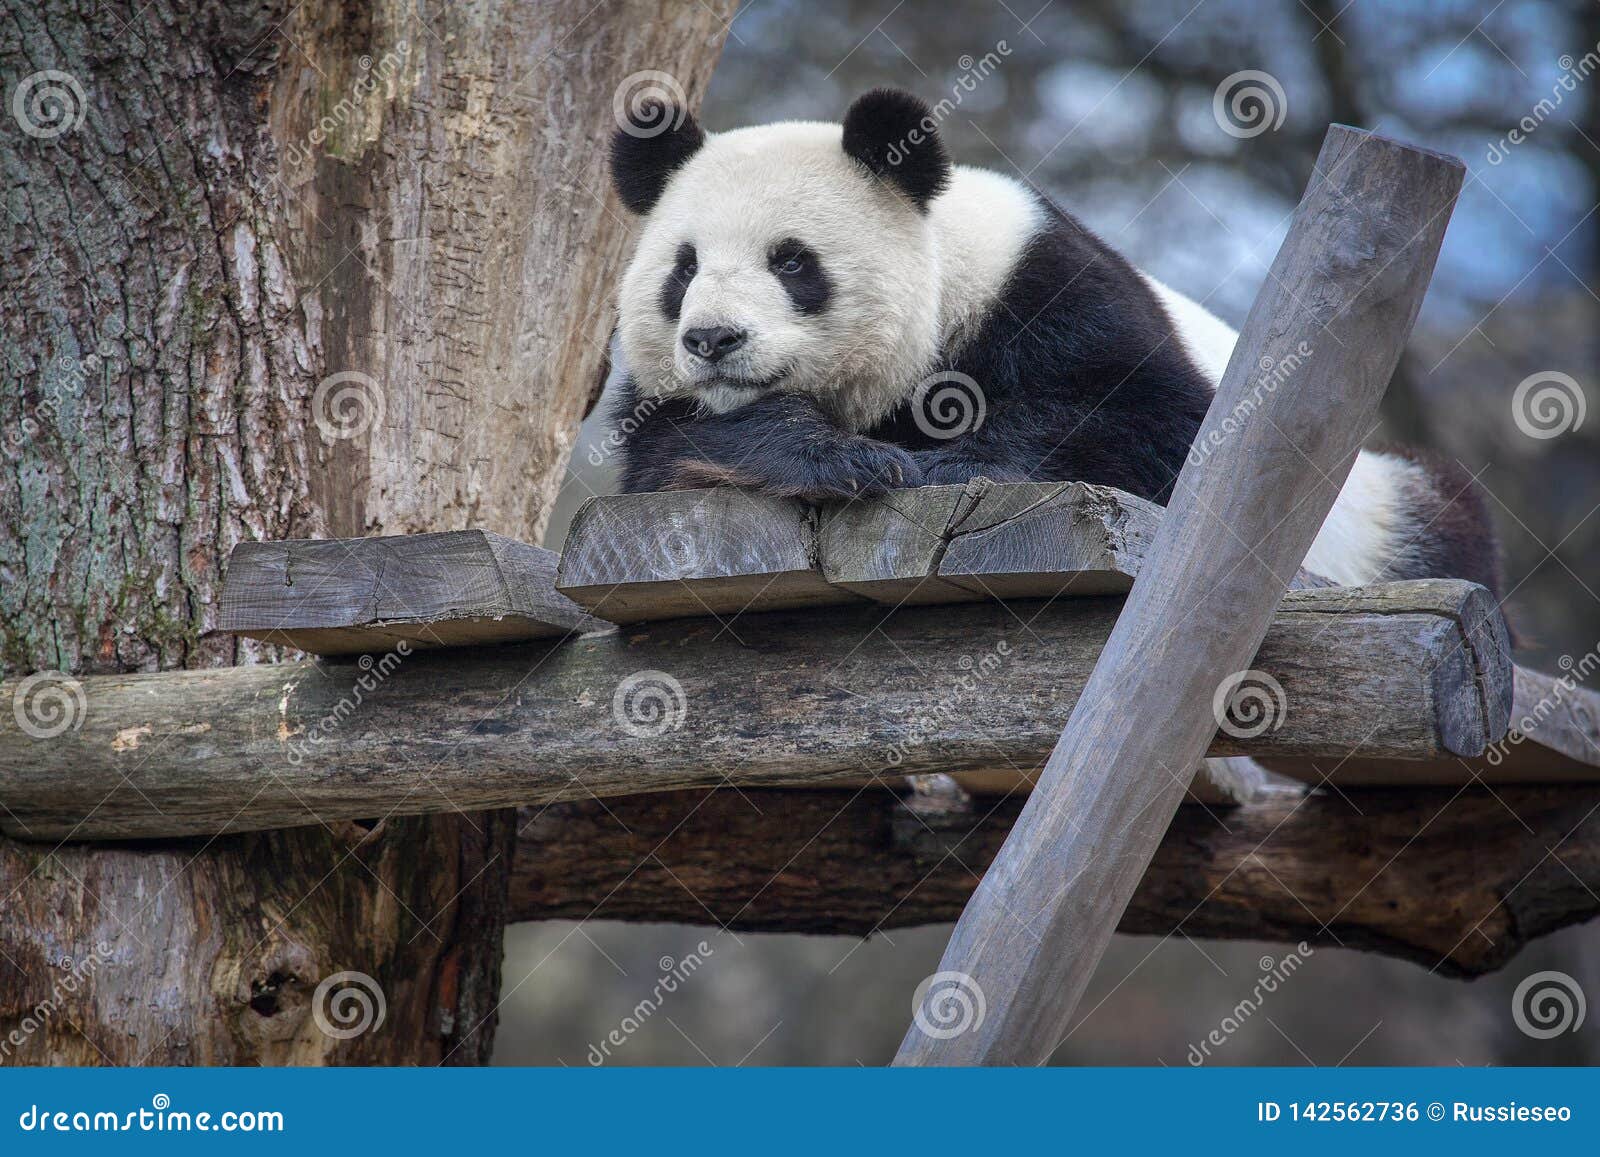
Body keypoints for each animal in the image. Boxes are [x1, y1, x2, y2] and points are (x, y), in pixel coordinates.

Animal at [606, 87, 1501, 594]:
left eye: (791, 261)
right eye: (683, 268)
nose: (713, 339)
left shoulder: (1052, 286)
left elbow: (1171, 430)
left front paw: (953, 462)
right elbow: (667, 446)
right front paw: (836, 455)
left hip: (1385, 506)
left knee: (1448, 515)